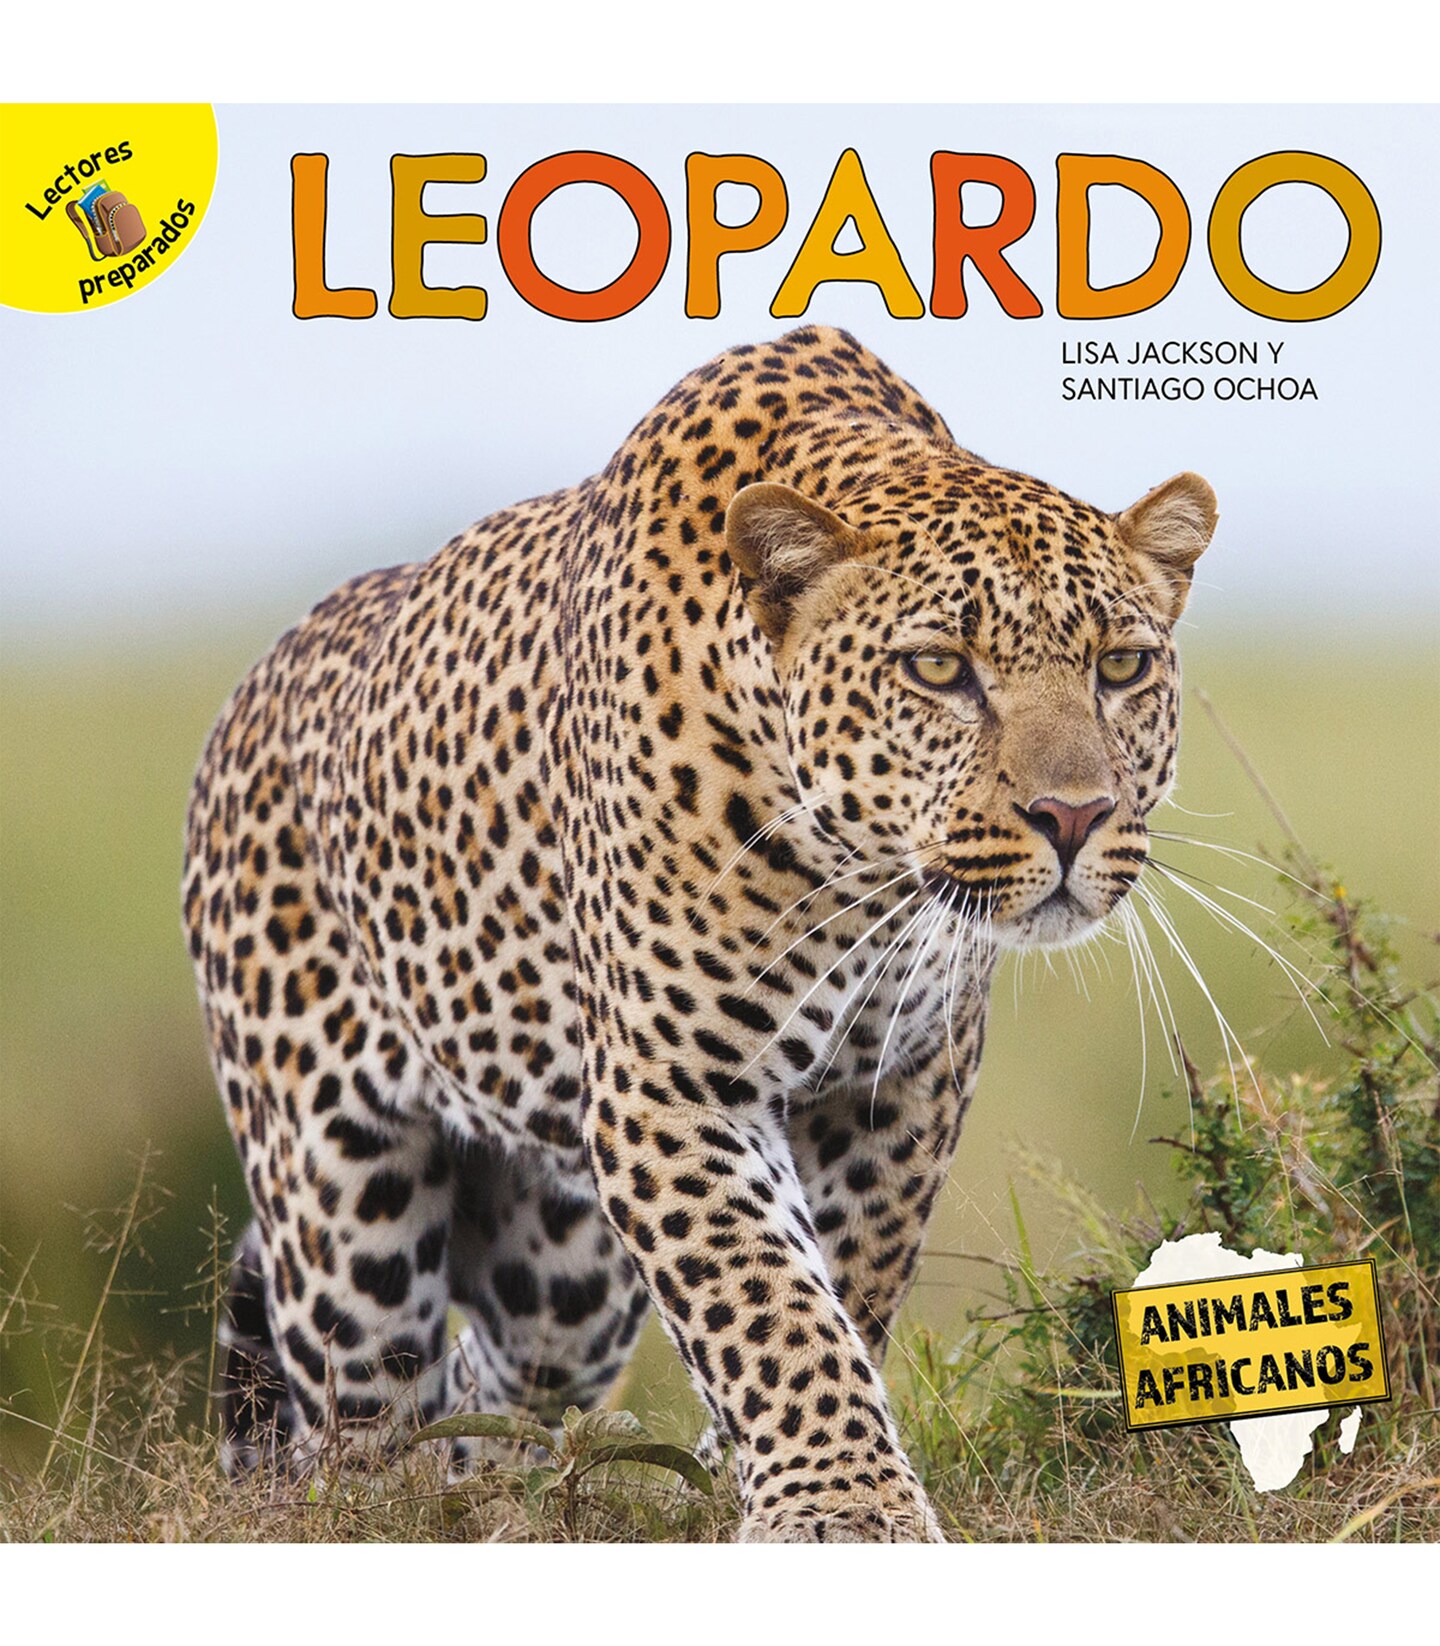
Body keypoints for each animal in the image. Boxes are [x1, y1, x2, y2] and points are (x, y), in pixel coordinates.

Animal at [183, 323, 1216, 1541]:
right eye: (938, 669)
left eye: (1121, 665)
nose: (1072, 815)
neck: (859, 878)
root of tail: (252, 688)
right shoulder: (671, 1088)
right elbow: (763, 1294)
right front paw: (841, 1505)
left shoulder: (900, 1085)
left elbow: (839, 1282)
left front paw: (750, 1475)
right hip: (342, 1211)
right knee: (362, 1427)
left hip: (561, 1272)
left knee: (500, 1389)